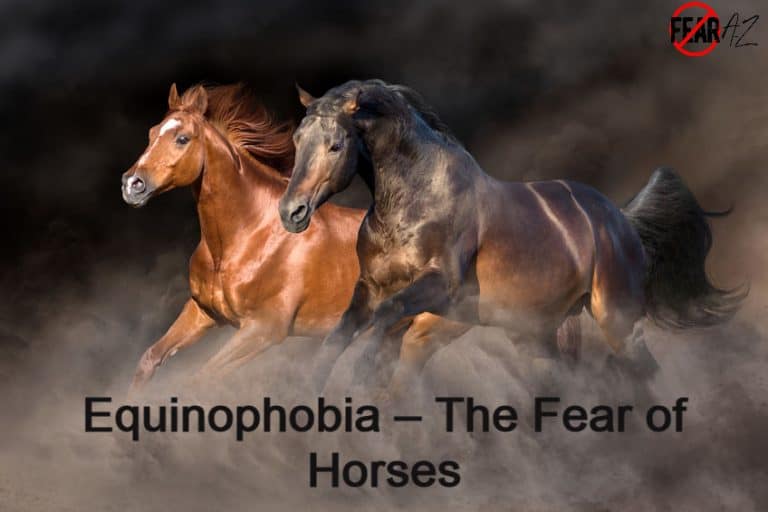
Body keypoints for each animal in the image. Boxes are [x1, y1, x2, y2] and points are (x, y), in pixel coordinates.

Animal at [278, 79, 744, 391]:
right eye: (298, 138)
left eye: (336, 145)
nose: (291, 212)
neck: (415, 202)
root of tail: (621, 220)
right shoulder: (369, 287)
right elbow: (339, 336)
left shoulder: (437, 286)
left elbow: (384, 319)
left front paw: (361, 376)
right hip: (535, 333)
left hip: (617, 318)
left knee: (645, 373)